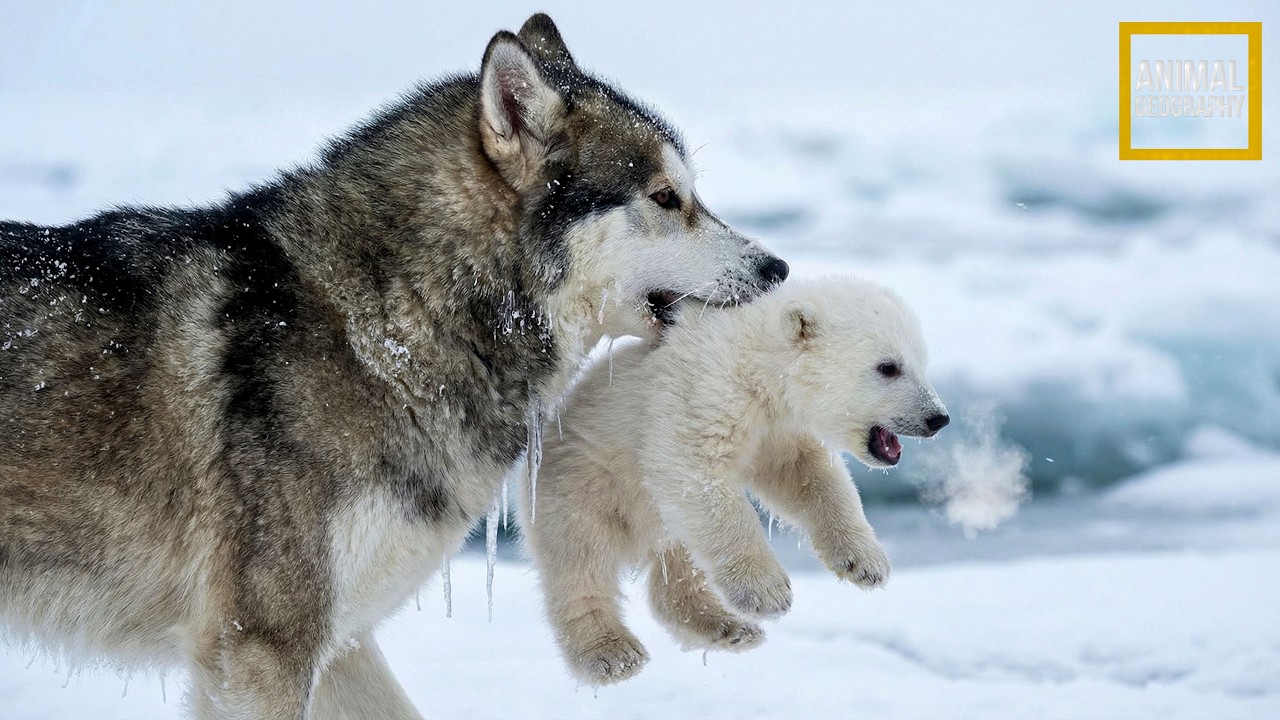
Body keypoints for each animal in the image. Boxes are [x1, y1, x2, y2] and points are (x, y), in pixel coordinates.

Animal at [519, 276, 950, 685]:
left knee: (680, 559)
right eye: (888, 367)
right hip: (582, 482)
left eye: (922, 361)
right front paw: (767, 592)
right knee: (582, 562)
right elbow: (696, 473)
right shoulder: (703, 395)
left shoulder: (778, 428)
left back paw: (728, 627)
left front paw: (866, 562)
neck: (754, 363)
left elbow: (808, 476)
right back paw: (611, 653)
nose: (938, 418)